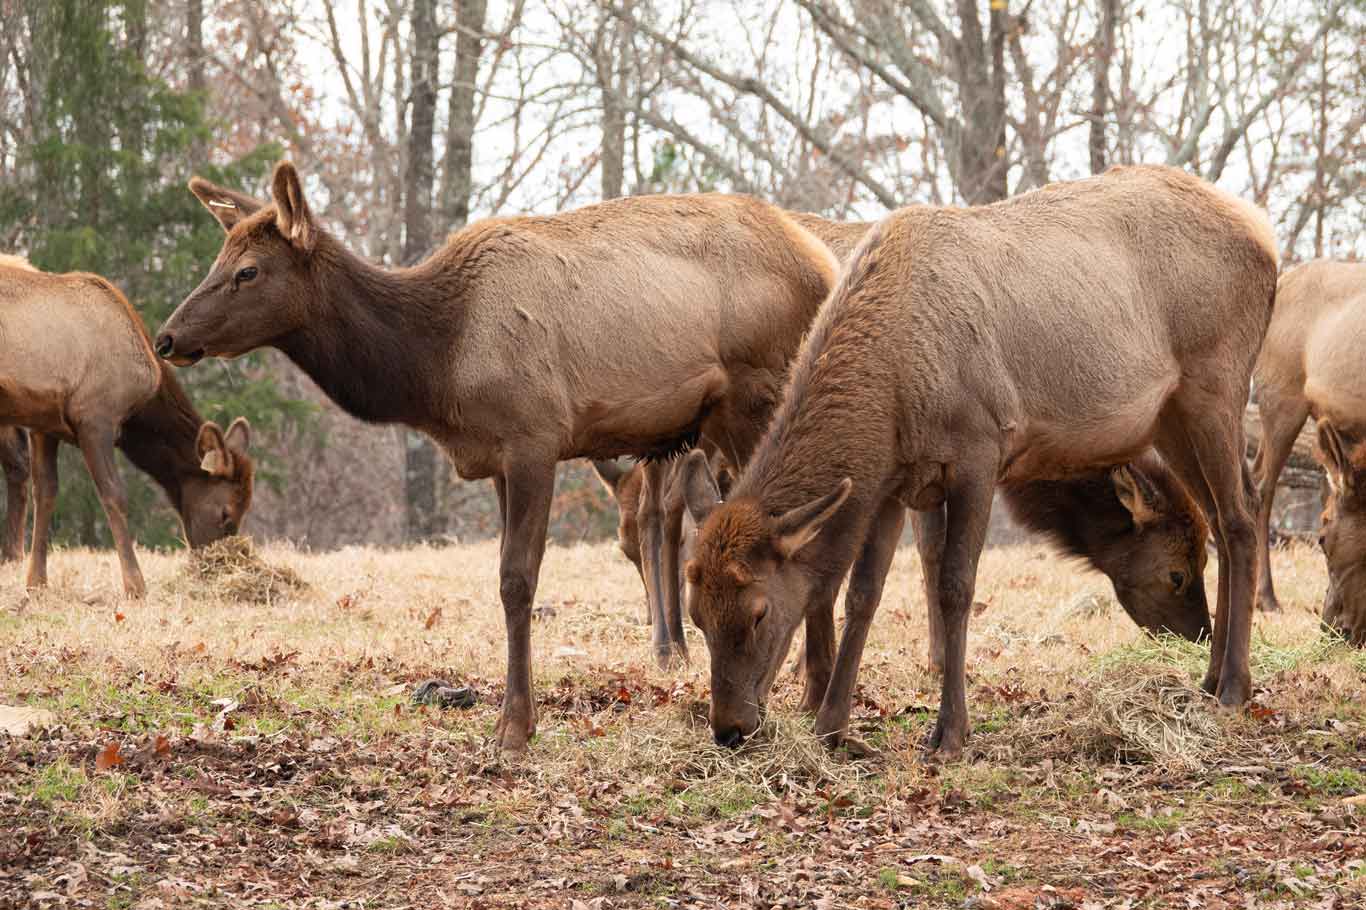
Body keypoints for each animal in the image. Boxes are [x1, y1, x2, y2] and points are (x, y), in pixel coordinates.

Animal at [0, 254, 255, 597]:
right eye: (226, 513)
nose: (218, 567)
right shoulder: (95, 416)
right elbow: (114, 495)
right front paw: (136, 586)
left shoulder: (44, 424)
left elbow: (46, 492)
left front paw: (36, 583)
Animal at [154, 161, 842, 752]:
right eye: (219, 258)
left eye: (247, 271)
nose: (167, 336)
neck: (438, 365)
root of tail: (825, 262)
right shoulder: (493, 455)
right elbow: (505, 581)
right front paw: (518, 719)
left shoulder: (534, 436)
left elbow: (518, 580)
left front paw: (514, 727)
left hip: (758, 394)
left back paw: (808, 694)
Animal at [680, 165, 1278, 759]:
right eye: (697, 615)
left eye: (758, 611)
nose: (729, 728)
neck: (892, 398)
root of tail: (1267, 237)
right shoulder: (895, 479)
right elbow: (864, 592)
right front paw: (832, 726)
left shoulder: (979, 448)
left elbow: (956, 586)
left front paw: (949, 733)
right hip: (1171, 415)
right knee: (1217, 518)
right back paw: (1209, 678)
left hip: (1215, 380)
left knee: (1240, 516)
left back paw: (1234, 688)